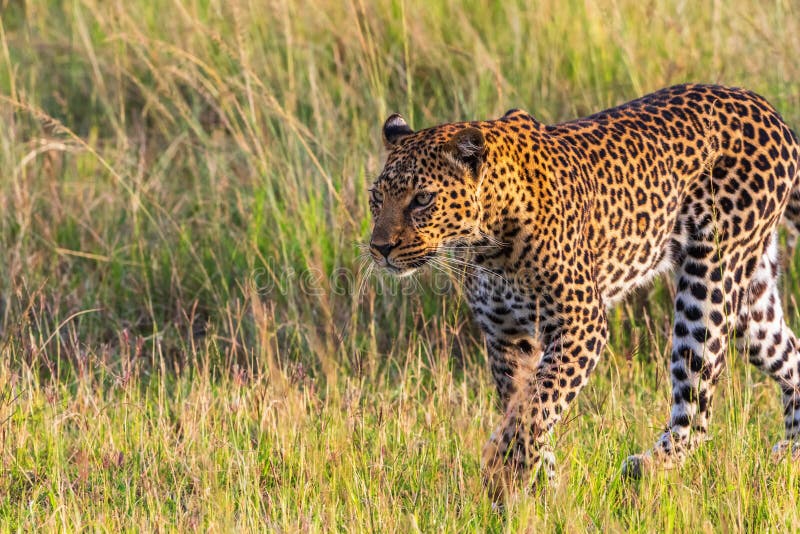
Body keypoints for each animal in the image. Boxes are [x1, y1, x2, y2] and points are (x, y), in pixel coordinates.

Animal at [367, 84, 800, 503]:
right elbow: (525, 407)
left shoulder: (580, 325)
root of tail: (769, 111)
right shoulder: (506, 337)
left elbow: (537, 405)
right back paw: (790, 455)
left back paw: (646, 467)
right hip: (751, 301)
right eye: (377, 198)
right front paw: (541, 488)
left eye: (422, 200)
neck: (485, 243)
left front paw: (501, 467)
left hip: (709, 282)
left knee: (696, 407)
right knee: (790, 354)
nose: (380, 248)